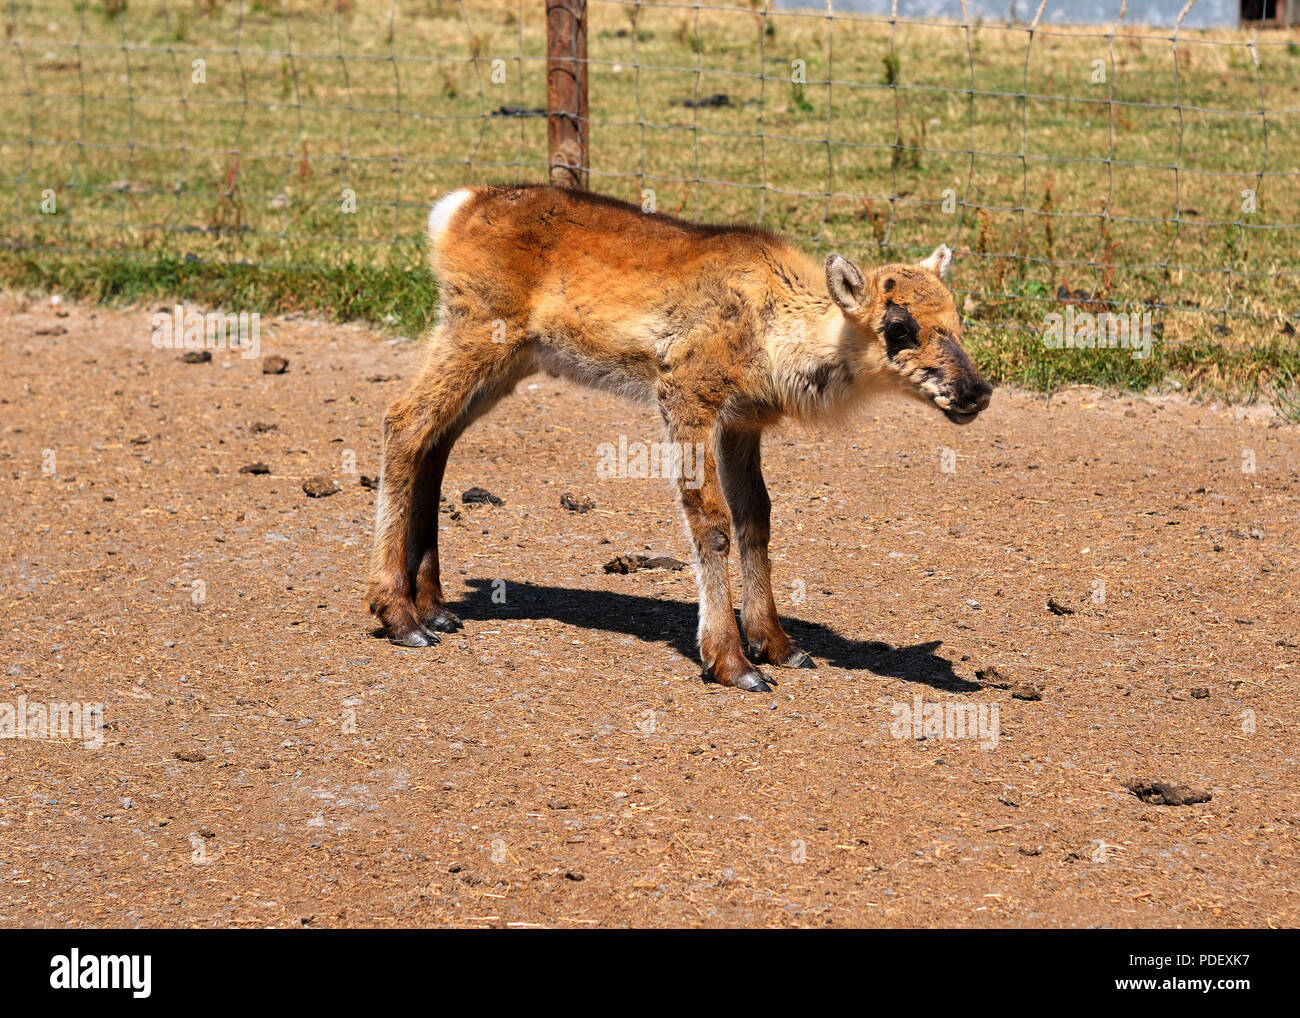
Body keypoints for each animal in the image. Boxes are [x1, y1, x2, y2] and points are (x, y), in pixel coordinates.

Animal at [368, 183, 992, 692]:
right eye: (898, 326)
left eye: (959, 320)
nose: (977, 391)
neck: (775, 328)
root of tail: (454, 209)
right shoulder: (684, 396)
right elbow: (710, 520)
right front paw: (734, 663)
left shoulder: (743, 422)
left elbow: (756, 517)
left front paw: (780, 646)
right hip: (476, 332)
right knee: (403, 420)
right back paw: (401, 617)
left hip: (509, 361)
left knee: (436, 439)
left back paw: (437, 610)